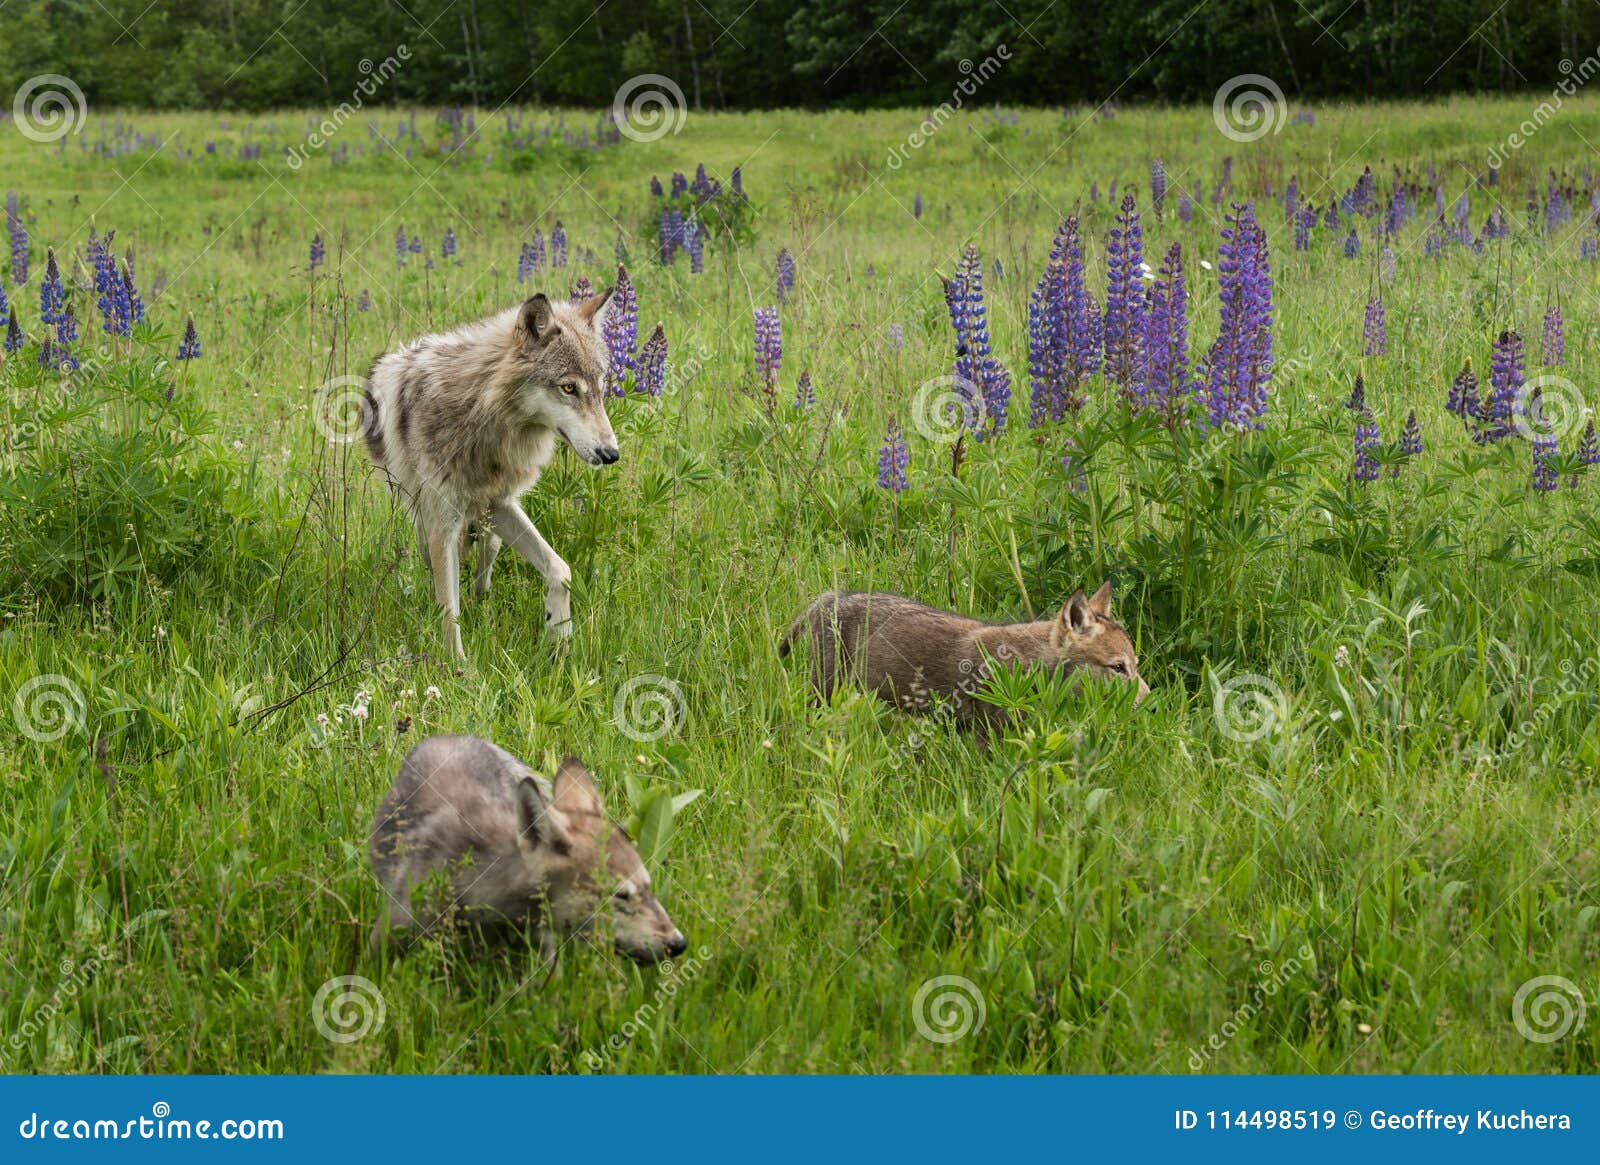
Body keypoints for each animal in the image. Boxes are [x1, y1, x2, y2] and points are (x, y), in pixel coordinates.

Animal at [363, 290, 619, 663]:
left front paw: (559, 636)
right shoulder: (443, 527)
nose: (611, 454)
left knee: (489, 549)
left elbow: (561, 570)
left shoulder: (501, 503)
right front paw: (457, 668)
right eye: (569, 388)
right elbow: (449, 610)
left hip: (490, 514)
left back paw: (481, 596)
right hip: (423, 519)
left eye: (601, 389)